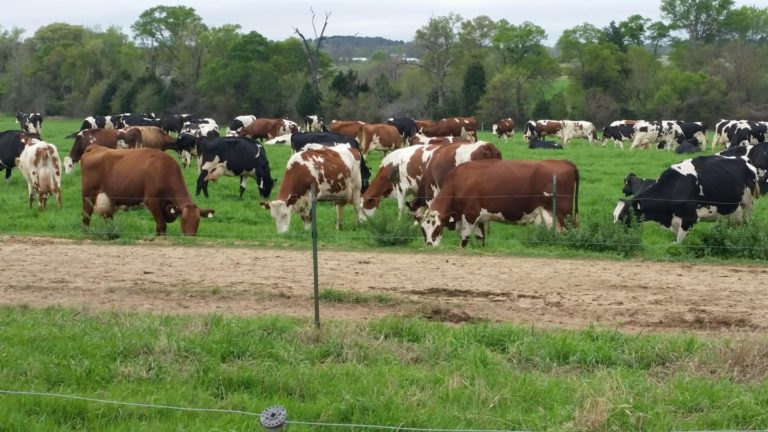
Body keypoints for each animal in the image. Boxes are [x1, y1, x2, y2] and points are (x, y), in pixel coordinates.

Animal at [81, 146, 214, 235]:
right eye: (183, 219)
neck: (164, 170)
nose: (190, 237)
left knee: (107, 219)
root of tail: (95, 147)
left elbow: (159, 227)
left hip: (109, 200)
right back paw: (86, 234)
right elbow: (162, 225)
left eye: (198, 221)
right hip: (88, 196)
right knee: (86, 217)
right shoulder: (151, 201)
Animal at [421, 159, 580, 247]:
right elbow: (481, 239)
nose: (429, 245)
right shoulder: (480, 219)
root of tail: (563, 162)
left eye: (437, 228)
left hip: (563, 214)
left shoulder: (470, 215)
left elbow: (464, 239)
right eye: (423, 229)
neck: (458, 182)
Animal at [613, 155, 759, 243]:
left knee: (746, 223)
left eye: (624, 216)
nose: (616, 235)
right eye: (614, 216)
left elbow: (677, 243)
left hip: (748, 205)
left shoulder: (690, 218)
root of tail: (744, 159)